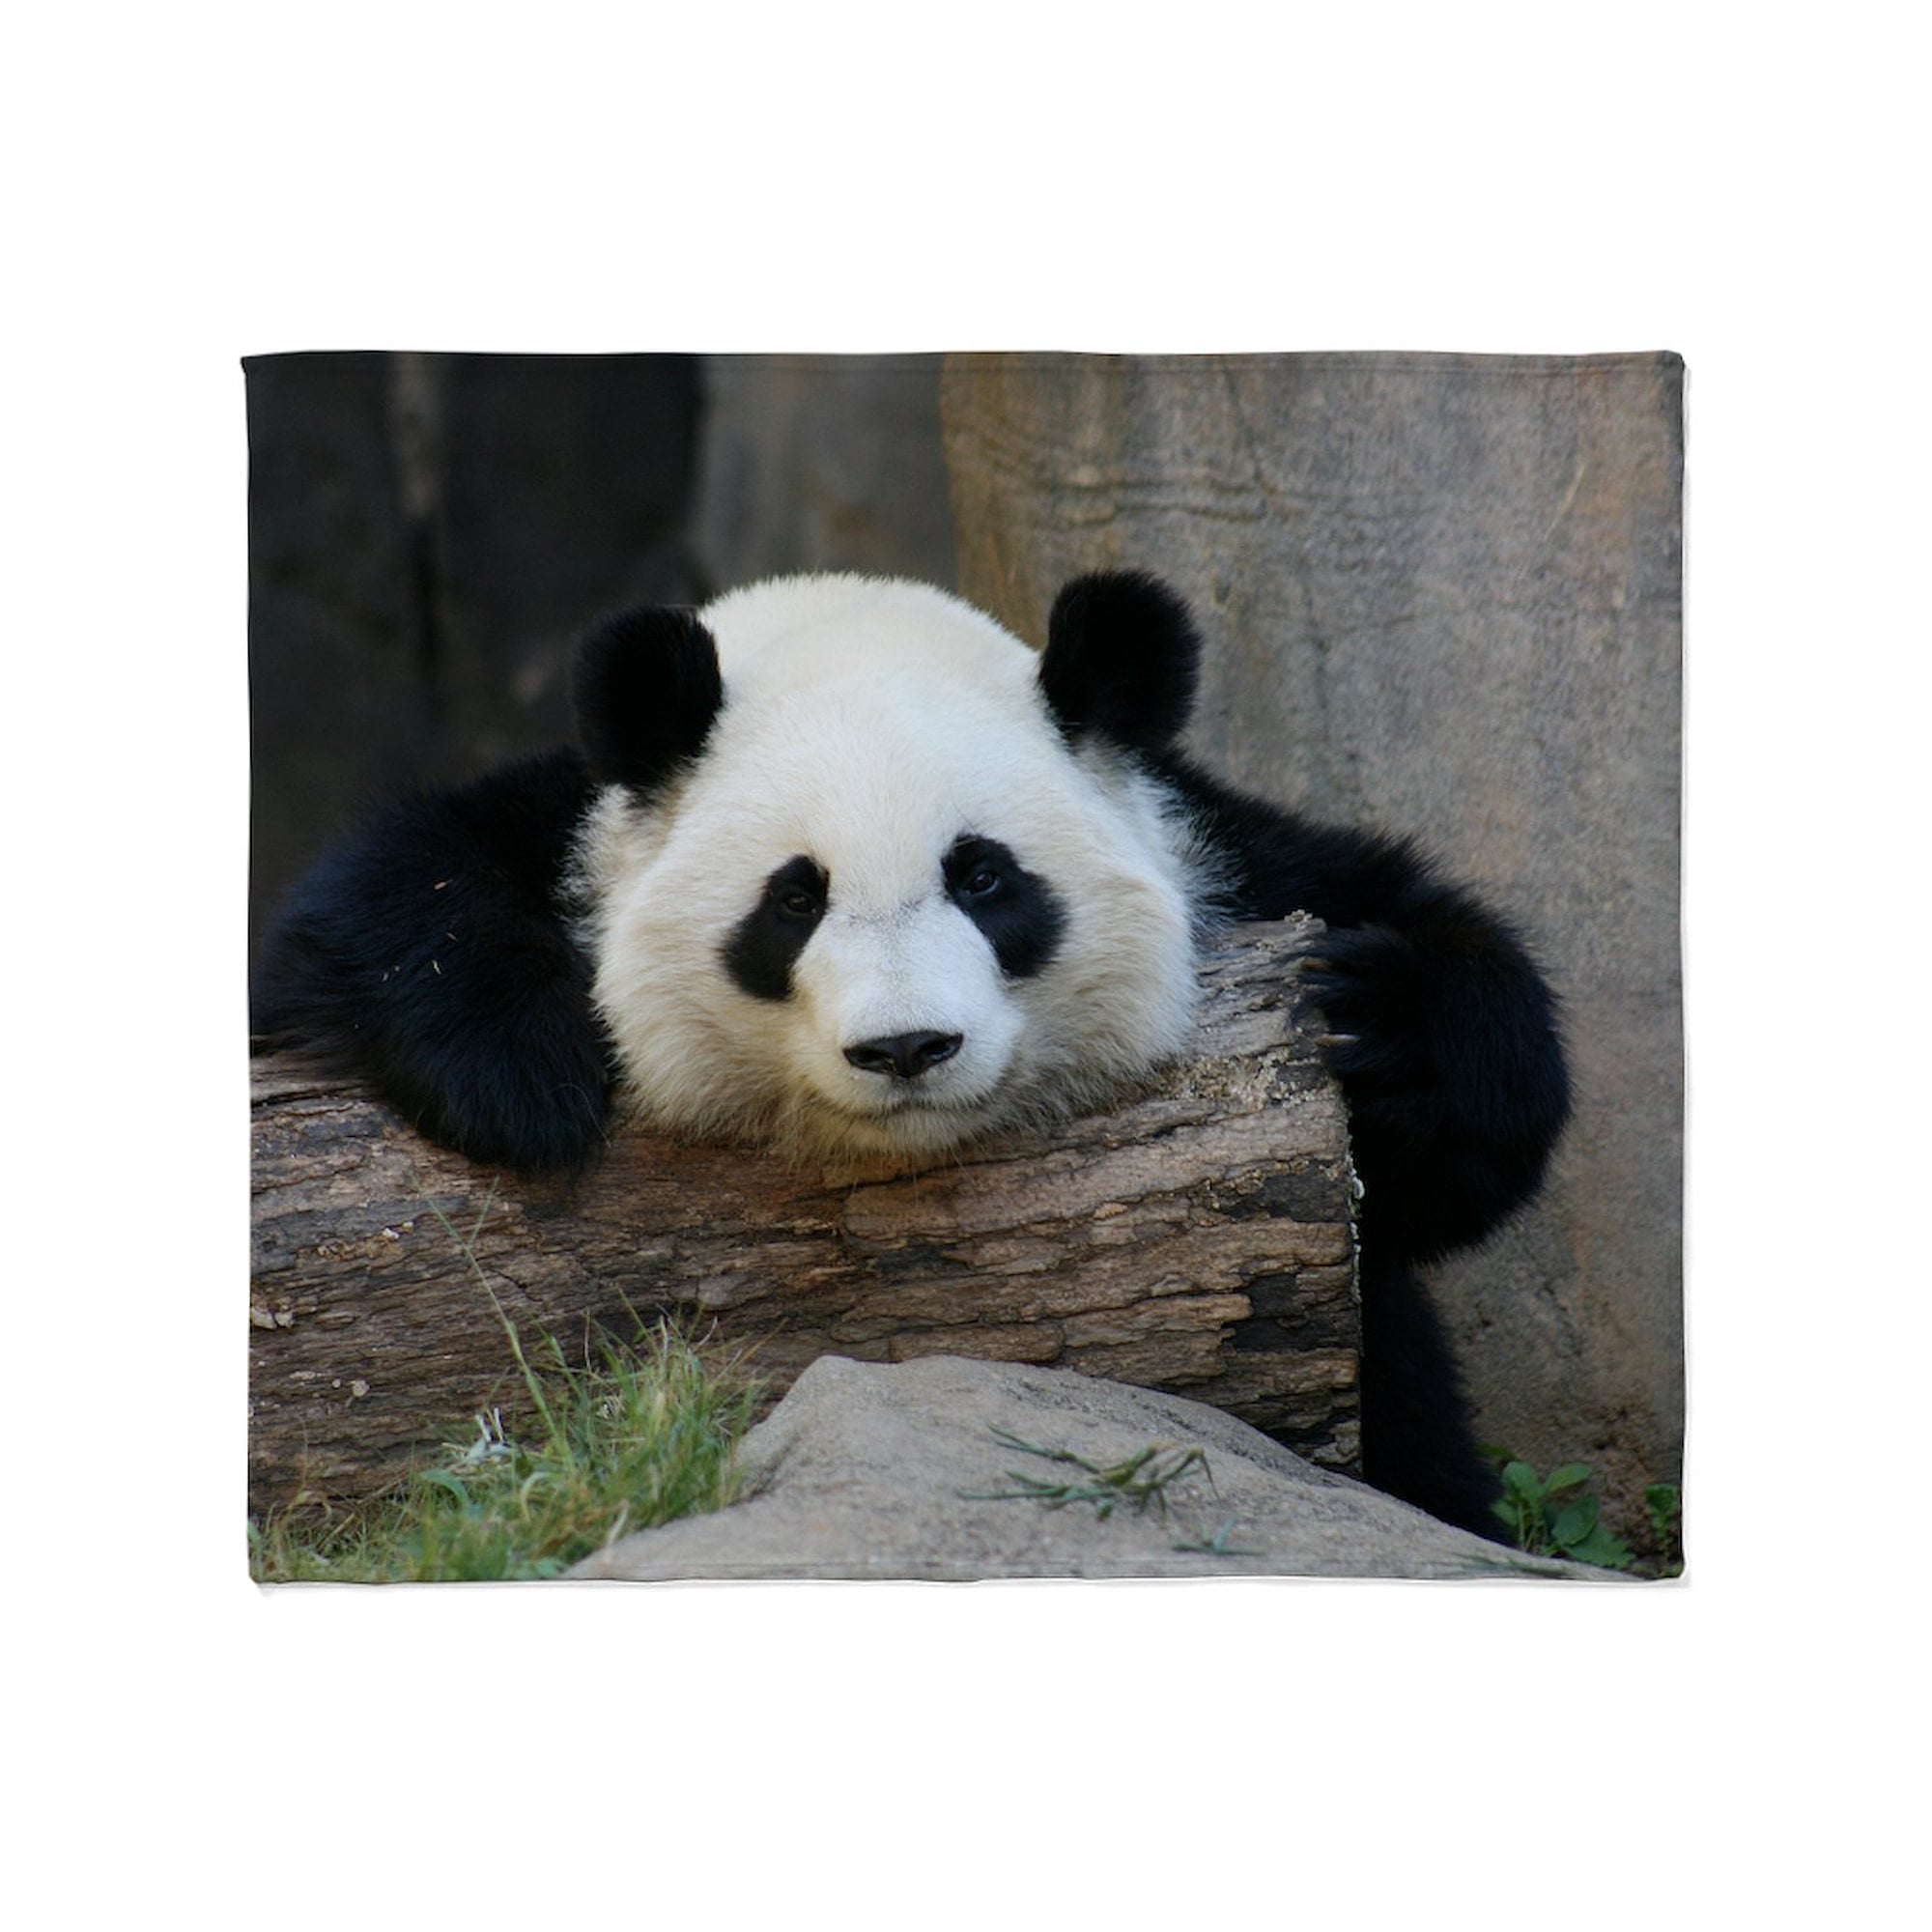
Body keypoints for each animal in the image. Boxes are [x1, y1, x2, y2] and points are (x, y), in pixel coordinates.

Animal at [253, 570, 1571, 1535]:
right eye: (793, 900)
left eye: (982, 877)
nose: (905, 1046)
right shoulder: (571, 830)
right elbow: (378, 902)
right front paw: (525, 1076)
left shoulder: (1228, 857)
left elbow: (1456, 1144)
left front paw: (1377, 1024)